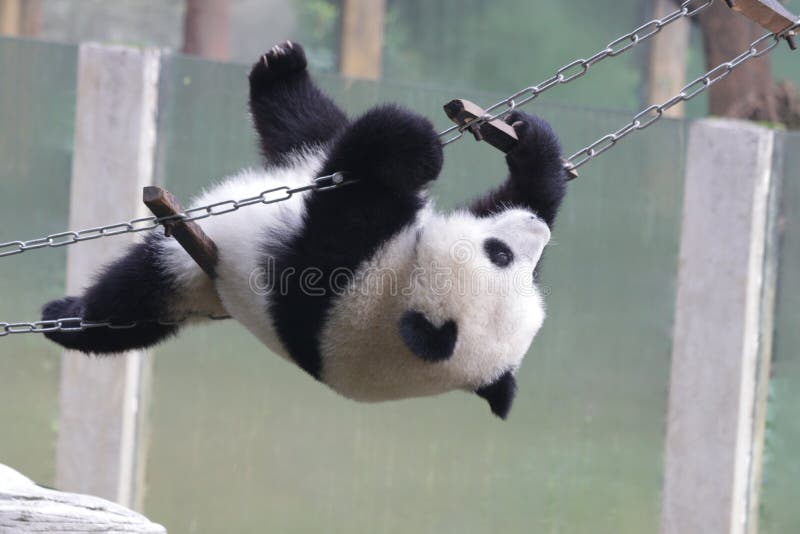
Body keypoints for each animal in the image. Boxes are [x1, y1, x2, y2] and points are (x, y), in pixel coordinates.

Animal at [42, 41, 567, 419]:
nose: (537, 231)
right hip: (301, 159)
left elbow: (339, 222)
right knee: (310, 127)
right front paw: (531, 150)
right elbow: (503, 195)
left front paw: (412, 145)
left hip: (187, 275)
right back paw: (281, 68)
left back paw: (65, 318)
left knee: (131, 303)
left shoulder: (344, 295)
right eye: (505, 255)